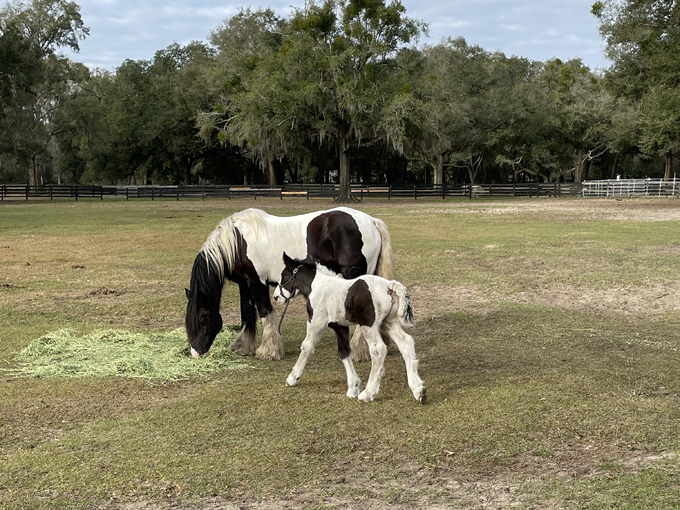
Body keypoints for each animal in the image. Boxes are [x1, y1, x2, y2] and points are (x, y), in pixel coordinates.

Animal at [185, 207, 395, 361]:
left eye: (203, 317)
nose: (195, 352)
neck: (238, 243)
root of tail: (371, 221)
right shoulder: (244, 284)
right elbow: (247, 313)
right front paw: (243, 346)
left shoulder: (256, 282)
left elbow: (264, 312)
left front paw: (269, 351)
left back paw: (360, 351)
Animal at [273, 253, 426, 403]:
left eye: (284, 275)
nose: (275, 297)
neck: (317, 286)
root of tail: (389, 286)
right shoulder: (340, 326)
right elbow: (344, 351)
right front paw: (353, 387)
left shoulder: (316, 322)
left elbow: (307, 346)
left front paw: (292, 378)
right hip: (388, 323)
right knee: (406, 342)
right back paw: (419, 391)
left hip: (369, 326)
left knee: (378, 350)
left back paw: (368, 394)